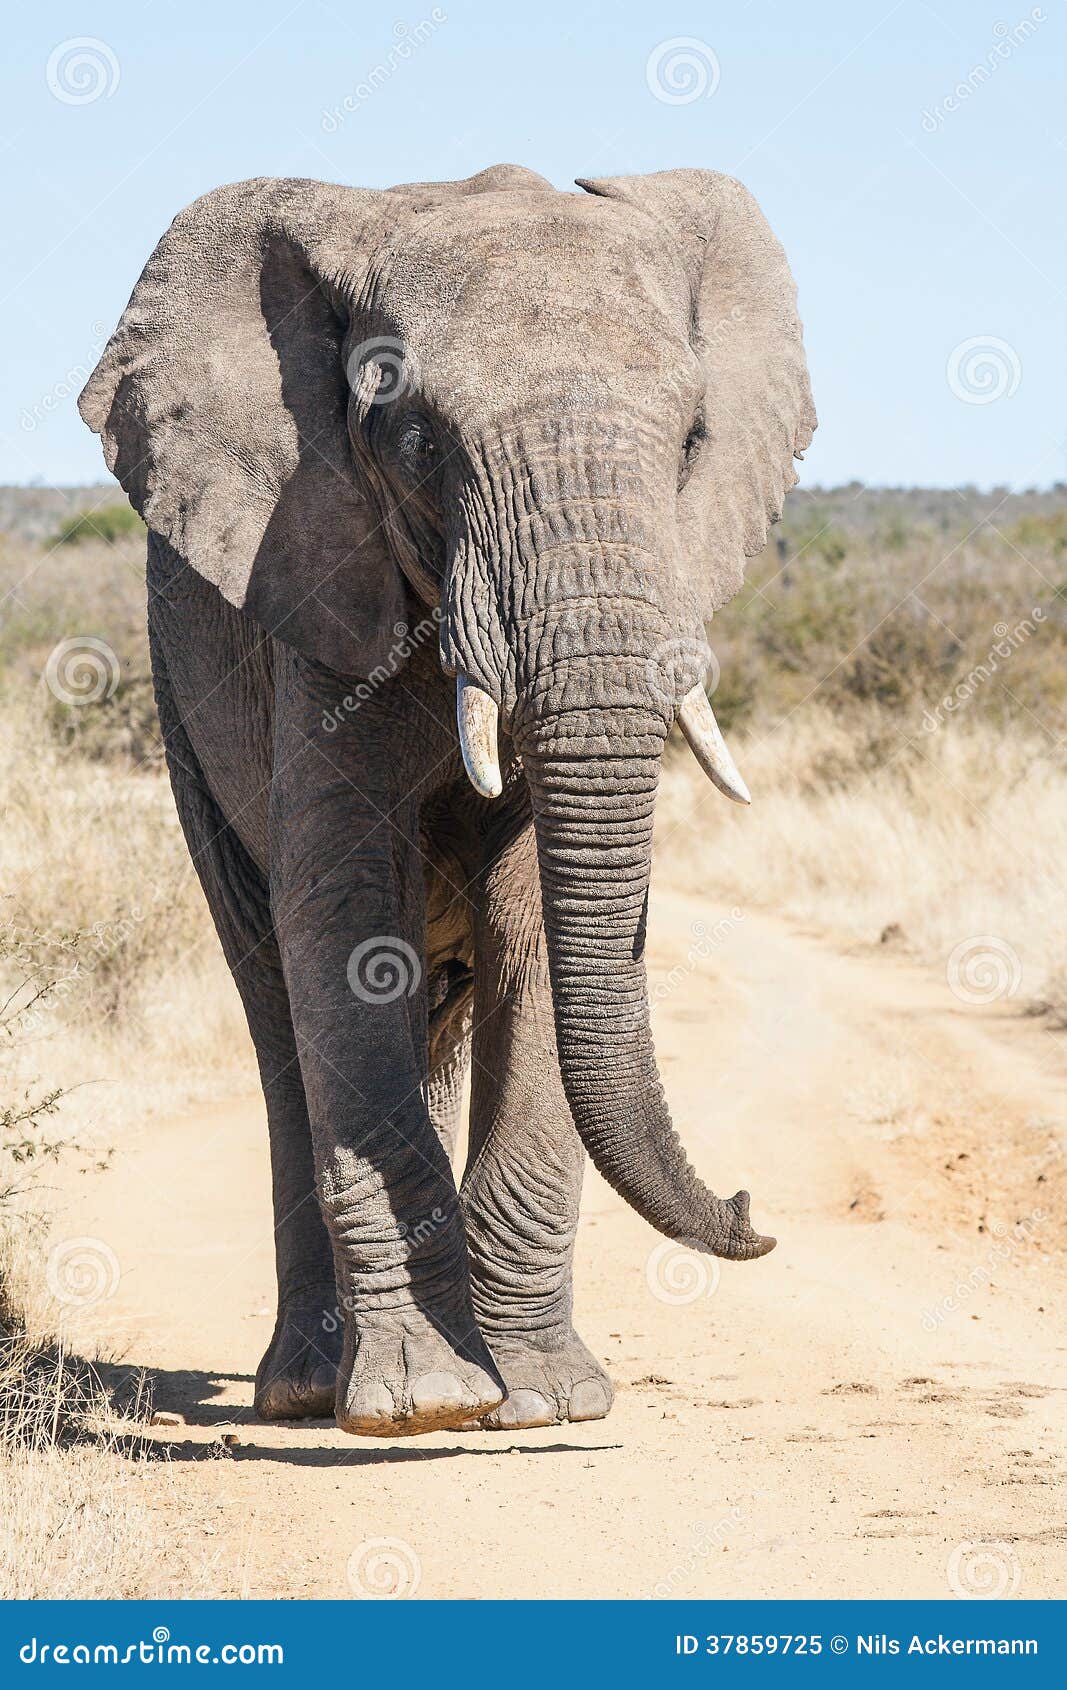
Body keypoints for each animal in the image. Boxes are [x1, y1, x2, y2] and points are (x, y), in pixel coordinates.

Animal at [79, 162, 815, 1437]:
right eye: (417, 438)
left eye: (688, 439)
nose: (747, 1212)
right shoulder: (315, 584)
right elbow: (338, 917)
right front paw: (421, 1405)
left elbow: (531, 918)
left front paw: (546, 1402)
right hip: (181, 706)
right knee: (275, 1002)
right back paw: (307, 1388)